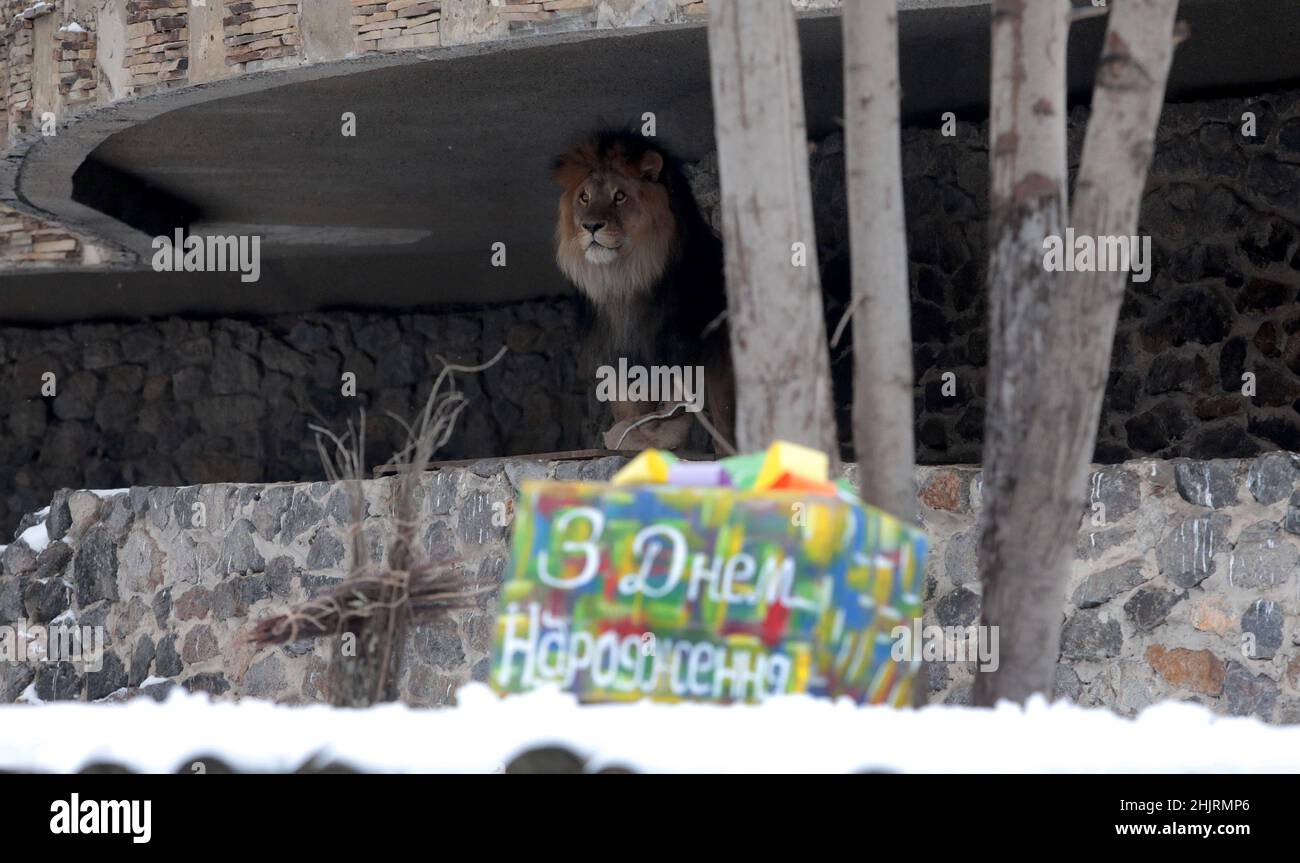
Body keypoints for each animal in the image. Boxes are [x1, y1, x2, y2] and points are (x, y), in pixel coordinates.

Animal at [552, 129, 734, 453]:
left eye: (619, 196)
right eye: (584, 197)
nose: (590, 225)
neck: (625, 279)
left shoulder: (703, 347)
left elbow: (721, 416)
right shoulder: (621, 352)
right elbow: (629, 407)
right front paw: (632, 438)